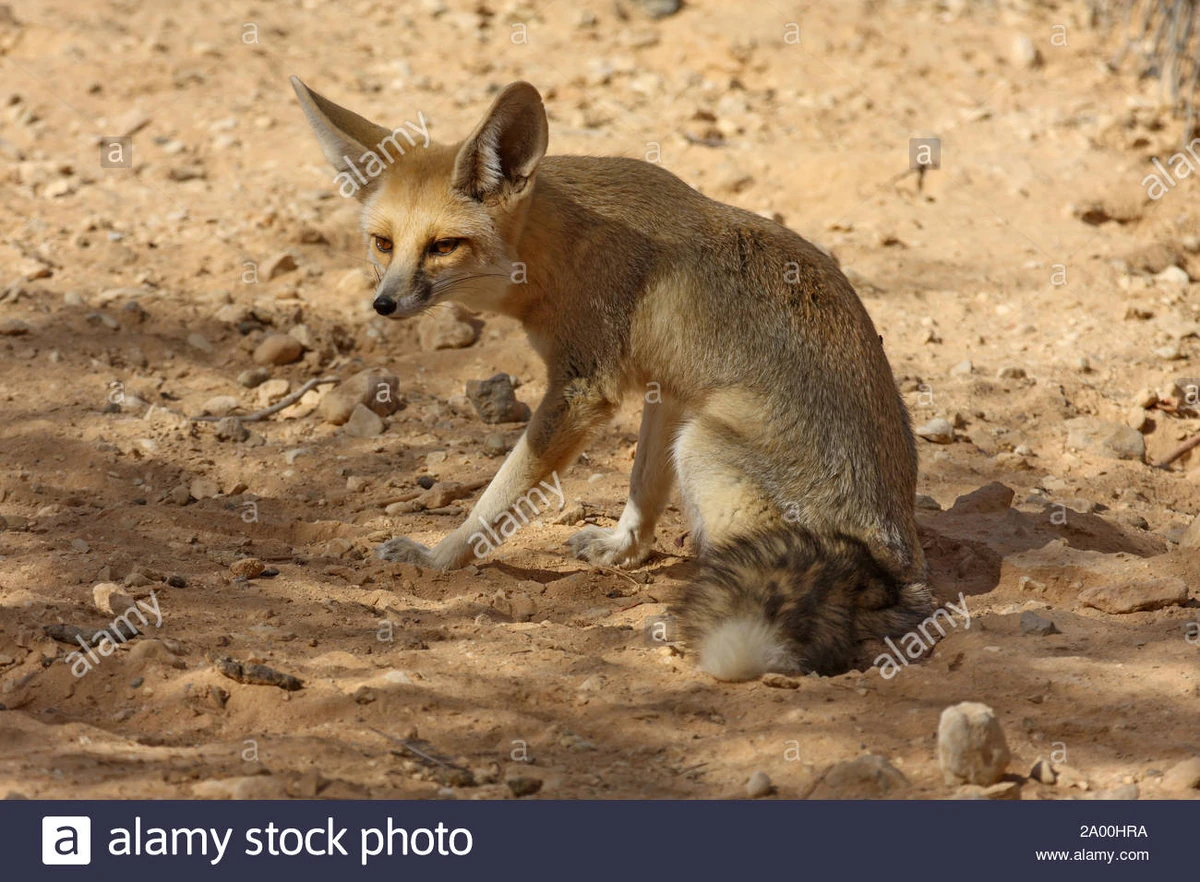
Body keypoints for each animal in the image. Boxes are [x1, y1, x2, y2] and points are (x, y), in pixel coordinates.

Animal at [291, 76, 934, 681]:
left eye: (444, 246)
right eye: (382, 243)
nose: (385, 304)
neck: (561, 248)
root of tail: (892, 559)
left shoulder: (581, 391)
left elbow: (495, 500)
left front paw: (438, 557)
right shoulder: (665, 390)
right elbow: (642, 486)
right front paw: (624, 549)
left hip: (703, 446)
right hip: (696, 431)